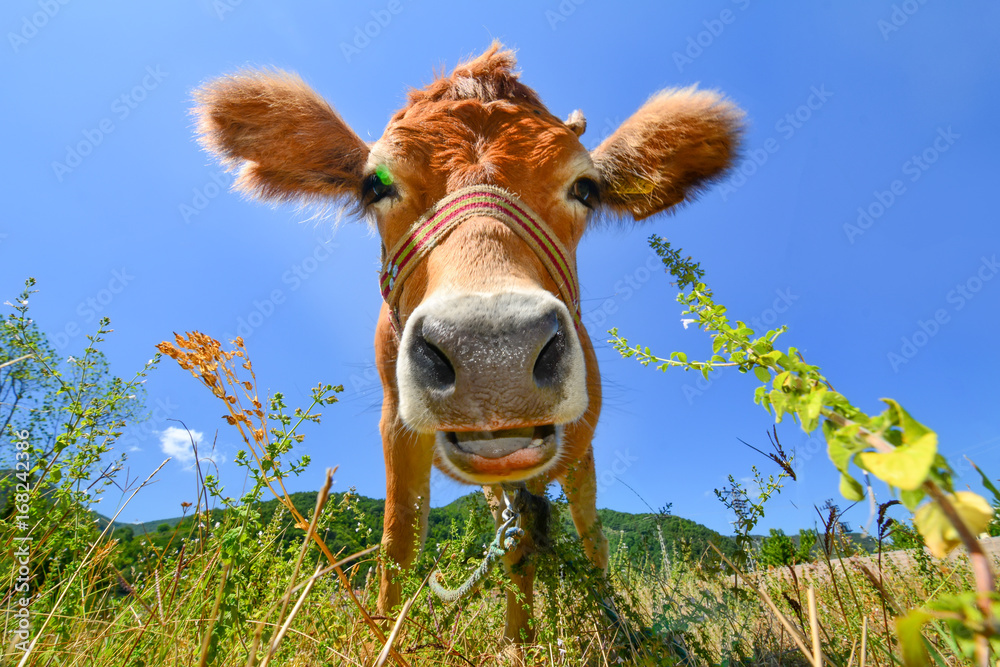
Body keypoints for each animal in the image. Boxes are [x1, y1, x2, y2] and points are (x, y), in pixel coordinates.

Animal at [193, 42, 742, 642]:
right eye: (375, 185)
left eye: (586, 188)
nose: (492, 352)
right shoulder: (397, 423)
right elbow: (400, 538)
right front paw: (388, 635)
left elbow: (539, 537)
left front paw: (522, 641)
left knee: (588, 531)